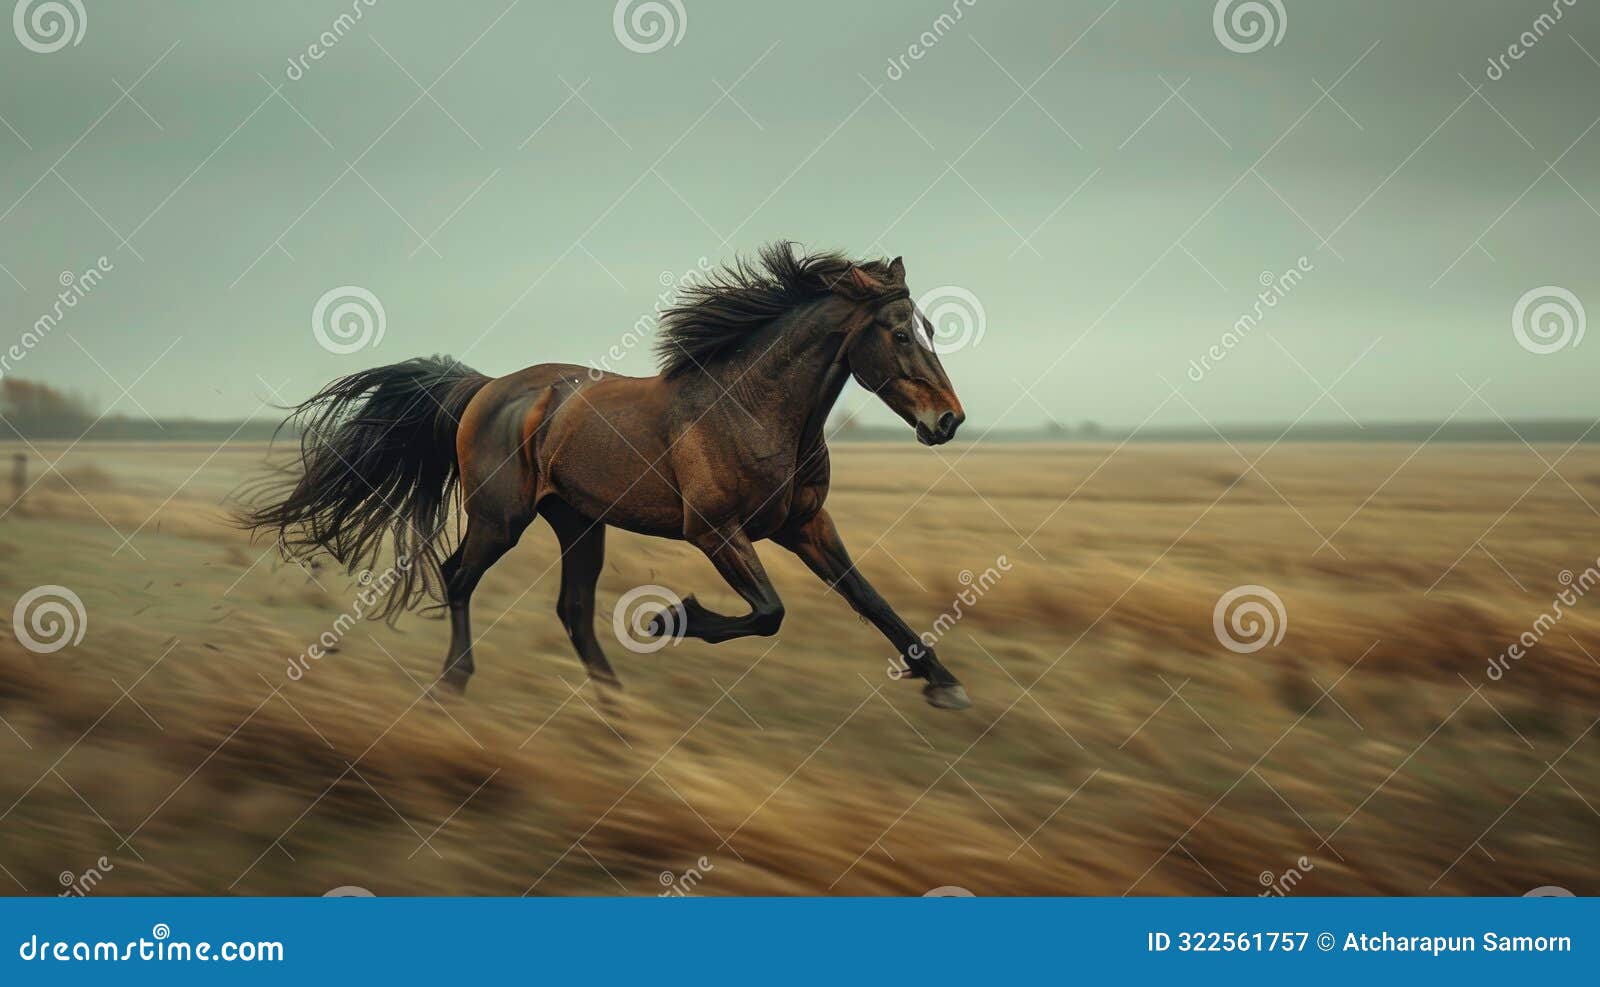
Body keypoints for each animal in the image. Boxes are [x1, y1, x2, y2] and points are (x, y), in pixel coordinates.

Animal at [240, 243, 973, 709]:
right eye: (899, 333)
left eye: (933, 329)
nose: (948, 420)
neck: (754, 410)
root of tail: (484, 388)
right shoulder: (716, 532)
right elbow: (770, 612)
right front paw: (671, 619)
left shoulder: (806, 525)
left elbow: (871, 600)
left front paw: (945, 682)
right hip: (501, 517)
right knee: (457, 577)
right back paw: (454, 682)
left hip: (579, 521)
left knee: (572, 608)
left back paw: (617, 706)